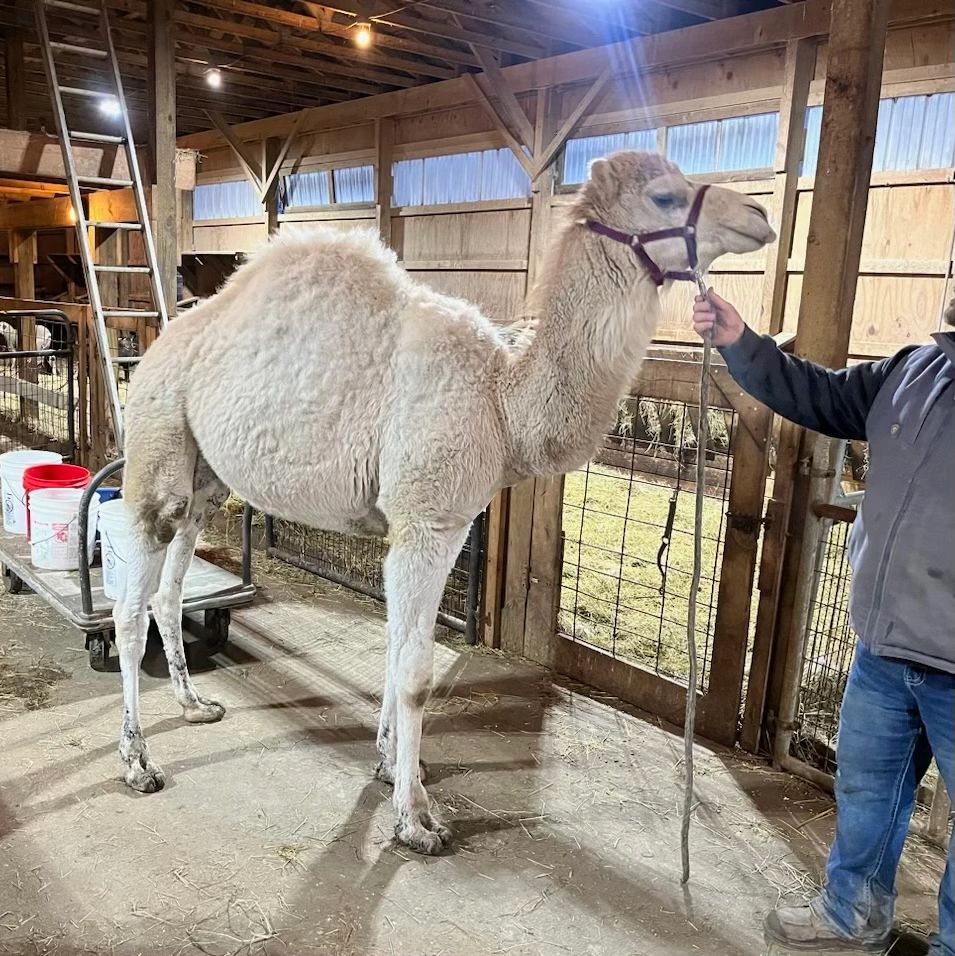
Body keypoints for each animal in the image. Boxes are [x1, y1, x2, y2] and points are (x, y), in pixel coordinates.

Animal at [116, 151, 775, 854]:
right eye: (664, 195)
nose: (757, 215)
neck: (501, 400)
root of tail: (158, 347)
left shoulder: (446, 524)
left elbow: (396, 646)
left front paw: (389, 762)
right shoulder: (426, 522)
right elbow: (415, 672)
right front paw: (416, 817)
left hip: (204, 479)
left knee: (168, 590)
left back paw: (194, 704)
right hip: (157, 451)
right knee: (129, 608)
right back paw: (137, 762)